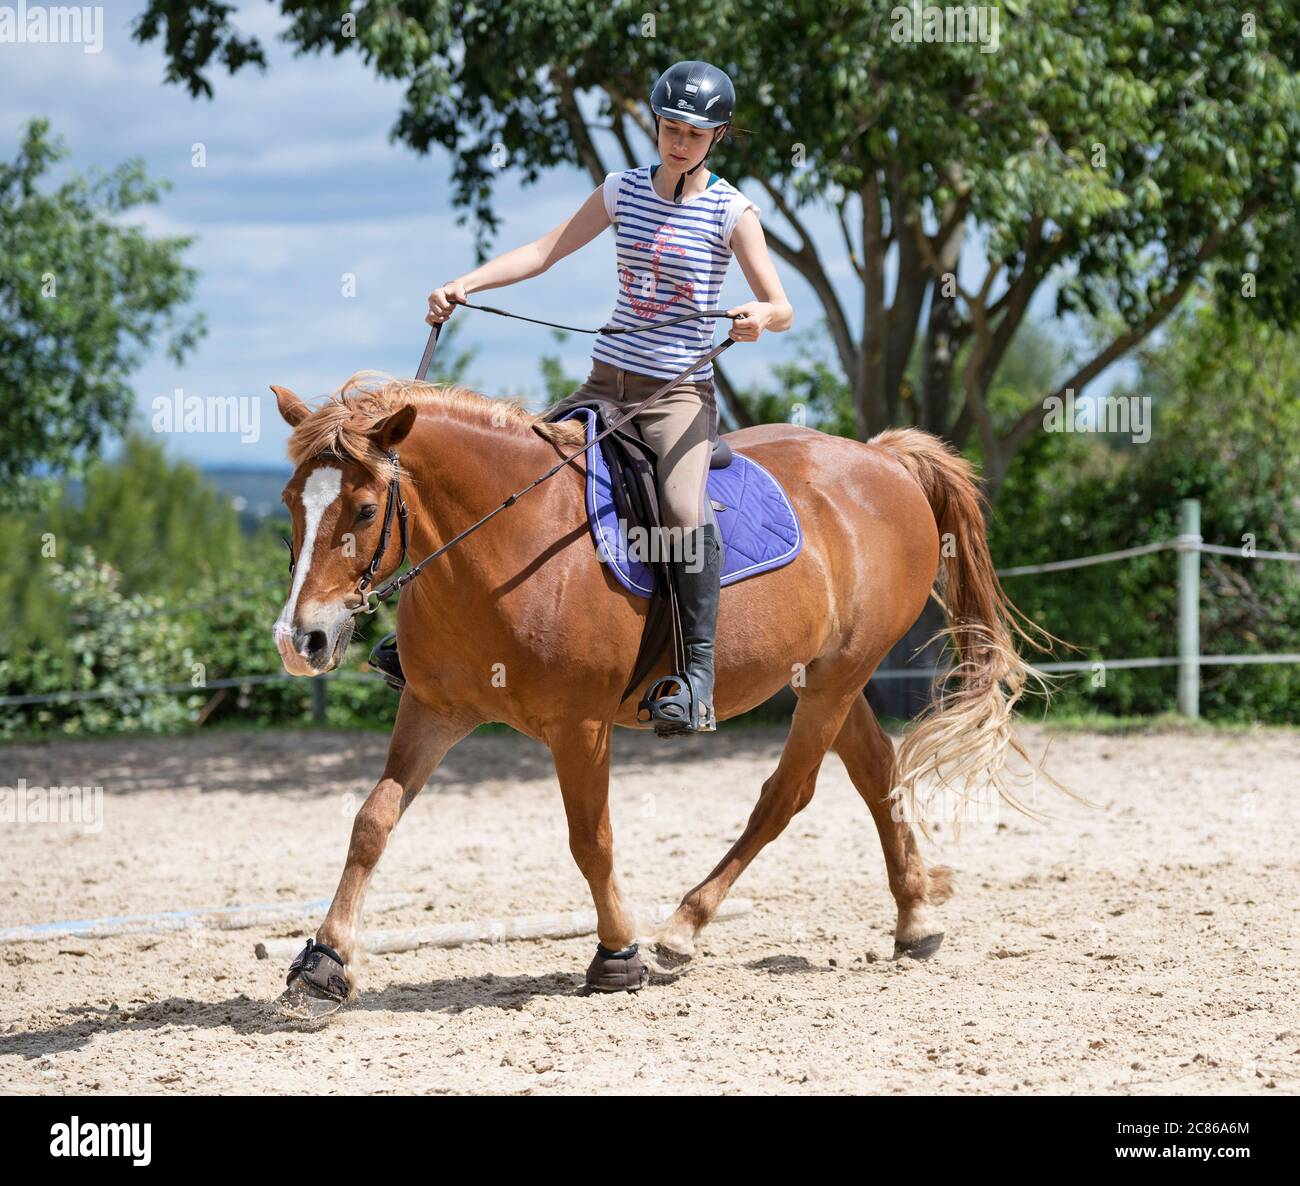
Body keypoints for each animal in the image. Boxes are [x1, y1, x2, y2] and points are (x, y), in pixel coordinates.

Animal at [270, 373, 1046, 1011]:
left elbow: (591, 840)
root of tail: (883, 458)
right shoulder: (433, 708)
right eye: (291, 504)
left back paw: (682, 929)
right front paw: (323, 963)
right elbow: (372, 822)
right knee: (876, 773)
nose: (300, 639)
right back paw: (914, 922)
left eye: (363, 510)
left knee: (787, 794)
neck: (503, 545)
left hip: (837, 678)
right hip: (829, 676)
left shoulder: (580, 726)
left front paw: (618, 955)